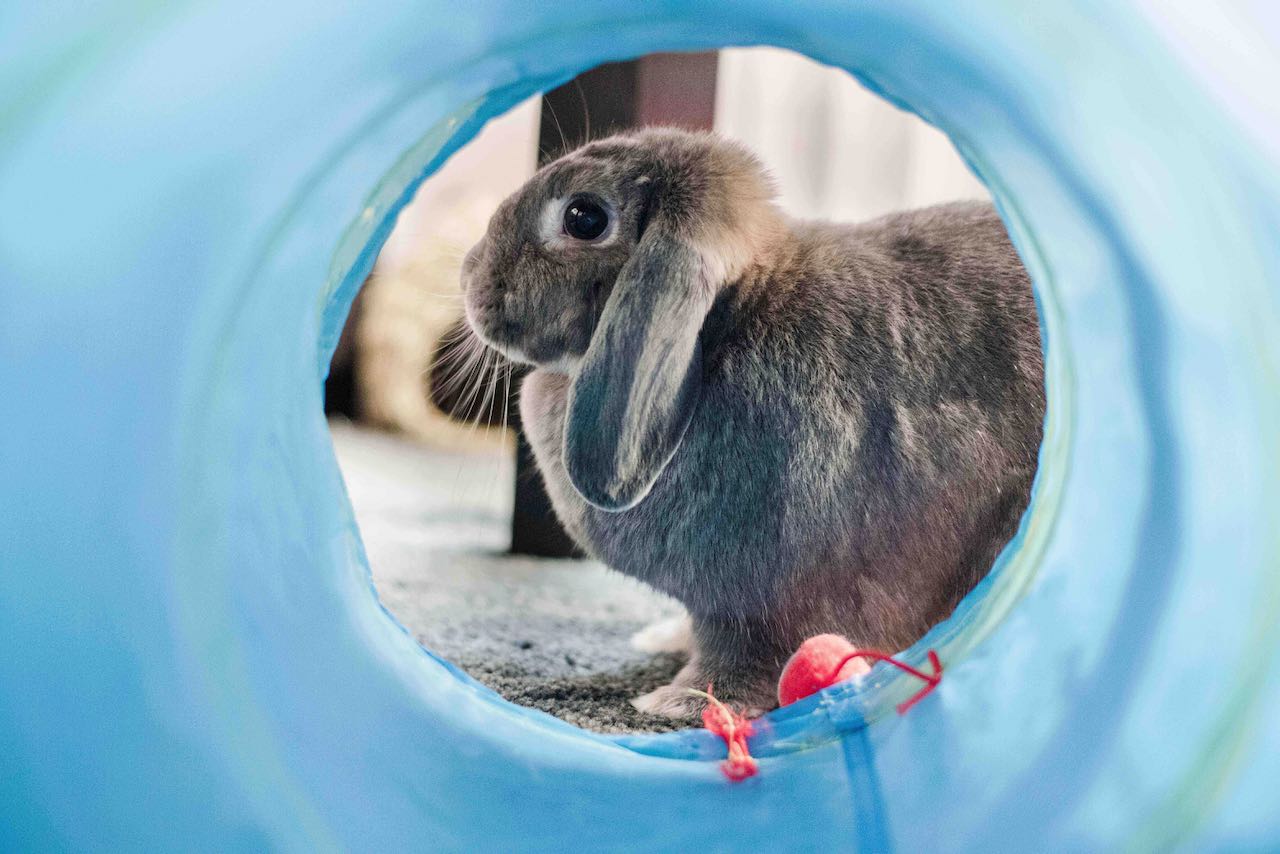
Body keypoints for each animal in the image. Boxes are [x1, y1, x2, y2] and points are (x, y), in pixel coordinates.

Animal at [459, 128, 1044, 718]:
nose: (468, 272)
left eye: (583, 218)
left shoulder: (760, 607)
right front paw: (662, 645)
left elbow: (743, 656)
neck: (728, 321)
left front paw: (677, 702)